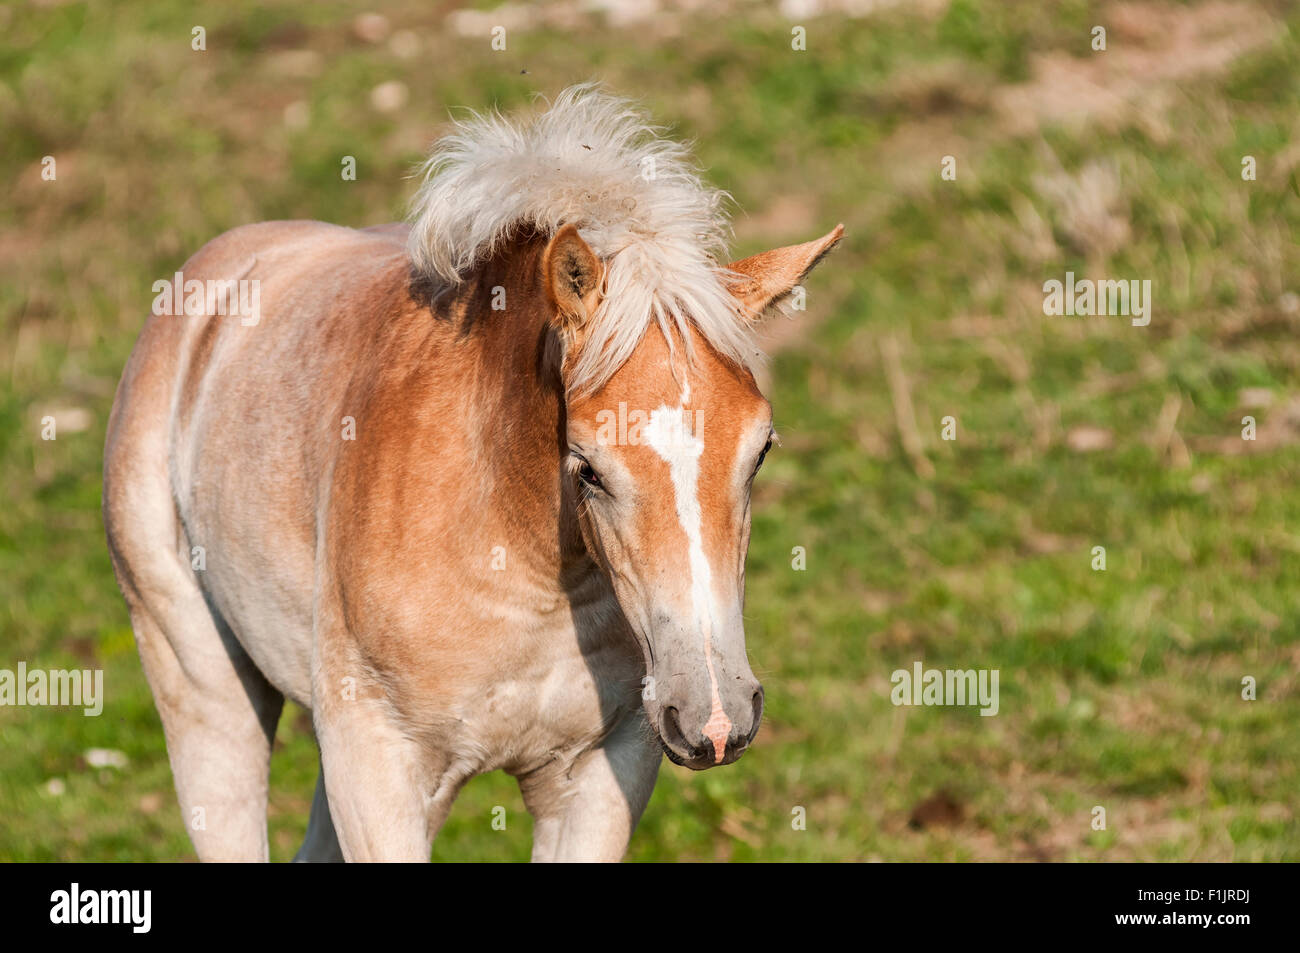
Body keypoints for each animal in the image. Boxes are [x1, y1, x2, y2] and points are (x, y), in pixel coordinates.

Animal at [103, 85, 842, 862]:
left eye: (761, 450)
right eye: (588, 469)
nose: (717, 718)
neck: (515, 560)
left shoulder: (602, 771)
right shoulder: (376, 768)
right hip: (204, 684)